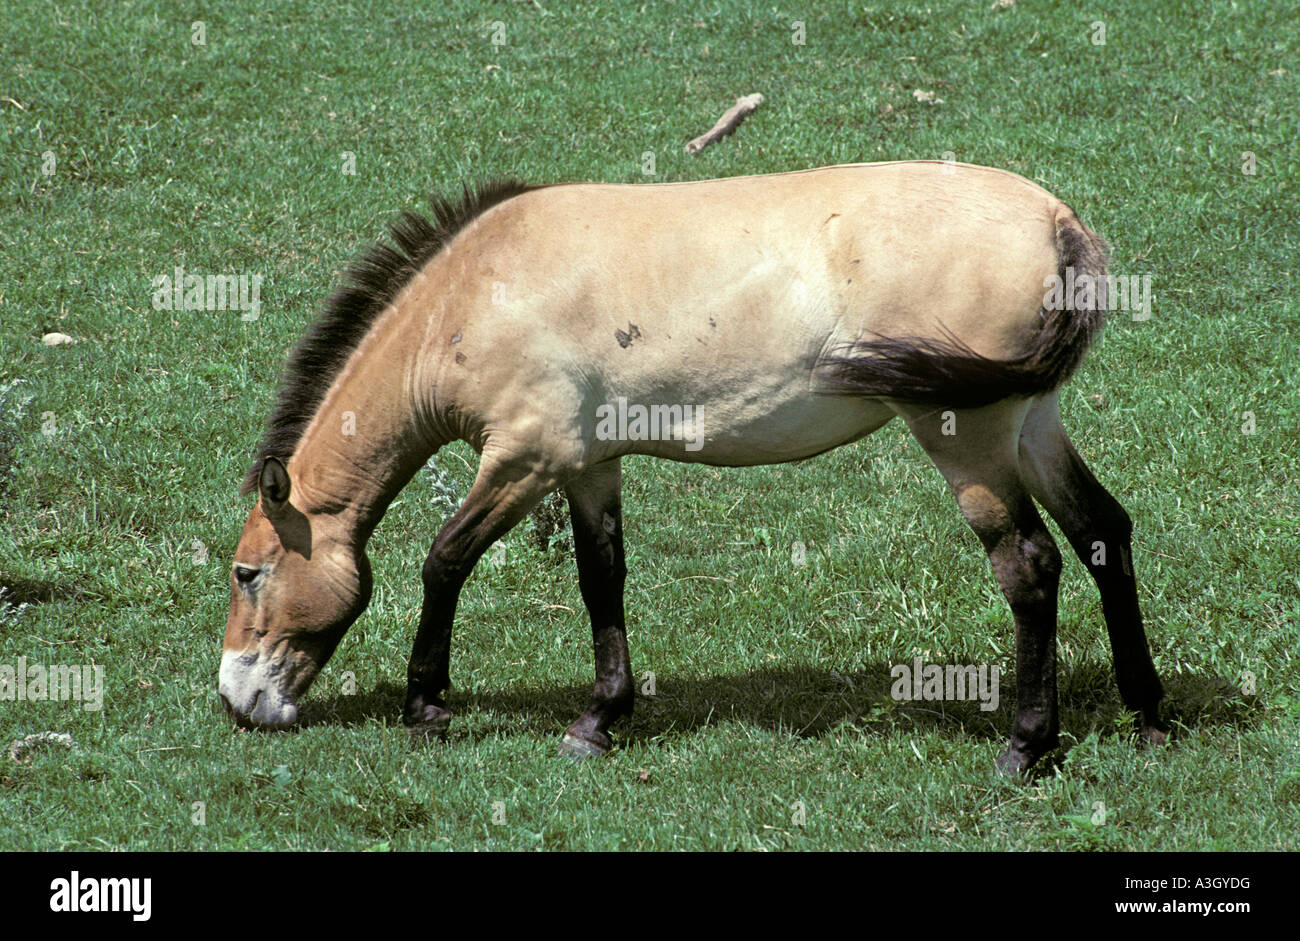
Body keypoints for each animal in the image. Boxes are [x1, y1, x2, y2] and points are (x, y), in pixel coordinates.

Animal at [218, 161, 1167, 775]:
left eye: (246, 573)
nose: (236, 698)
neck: (478, 291)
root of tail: (1056, 223)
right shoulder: (588, 465)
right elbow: (601, 578)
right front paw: (599, 719)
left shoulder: (524, 458)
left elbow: (443, 560)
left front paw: (427, 708)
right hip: (1029, 426)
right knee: (1103, 533)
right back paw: (1148, 712)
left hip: (966, 438)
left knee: (1030, 566)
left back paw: (1026, 745)